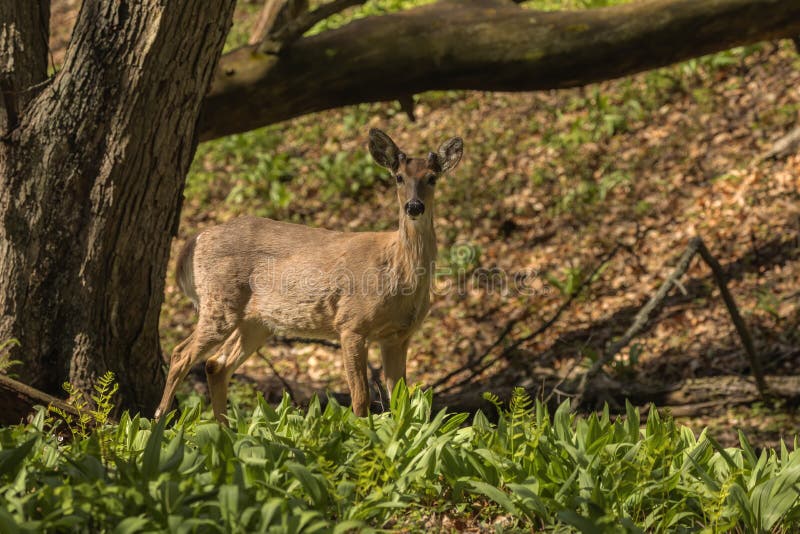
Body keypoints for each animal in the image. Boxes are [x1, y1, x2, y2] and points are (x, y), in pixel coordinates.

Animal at [155, 129, 463, 422]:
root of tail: (193, 242)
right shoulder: (351, 324)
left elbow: (402, 400)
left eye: (432, 178)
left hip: (257, 322)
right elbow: (360, 400)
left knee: (215, 365)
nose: (414, 206)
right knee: (180, 354)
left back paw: (224, 431)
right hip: (220, 302)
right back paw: (160, 423)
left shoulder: (398, 336)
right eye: (398, 177)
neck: (400, 274)